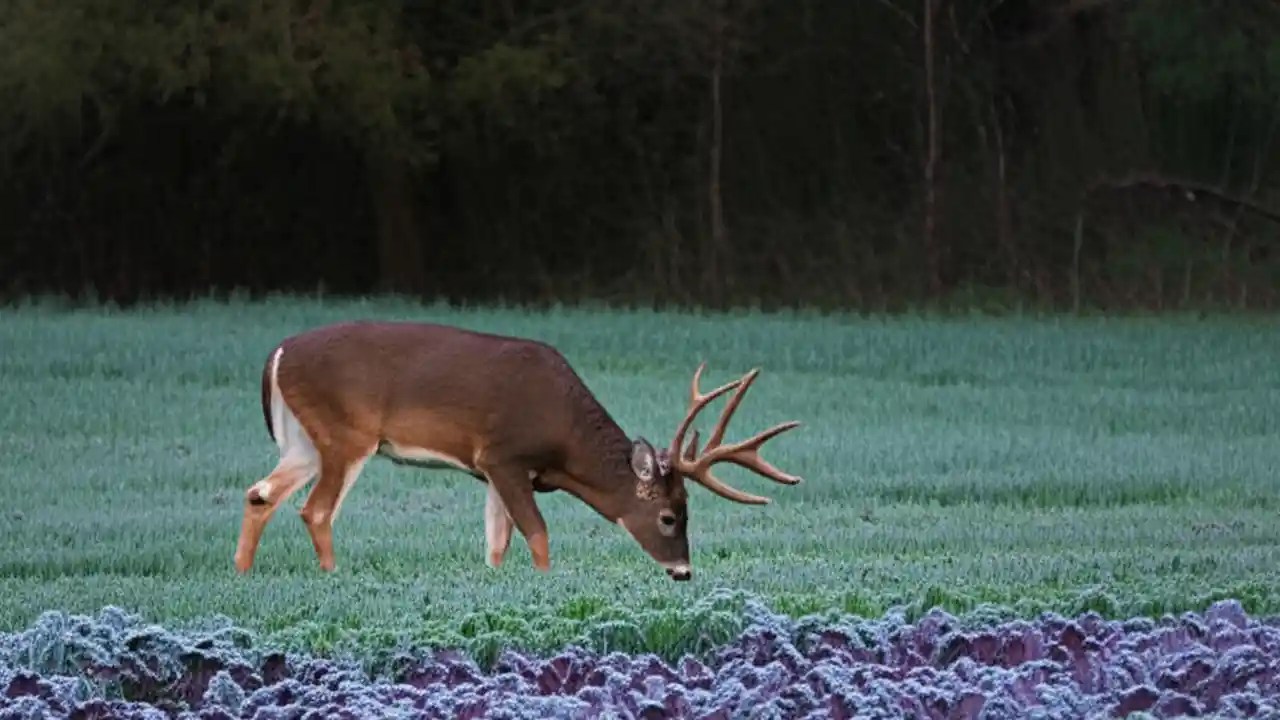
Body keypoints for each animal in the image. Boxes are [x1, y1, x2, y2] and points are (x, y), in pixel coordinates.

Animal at [232, 320, 802, 581]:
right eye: (668, 516)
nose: (683, 572)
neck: (565, 443)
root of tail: (276, 354)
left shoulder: (492, 474)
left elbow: (497, 542)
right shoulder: (504, 456)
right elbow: (537, 532)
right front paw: (545, 584)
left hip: (304, 438)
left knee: (261, 493)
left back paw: (241, 572)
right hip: (347, 433)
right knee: (315, 509)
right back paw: (331, 575)